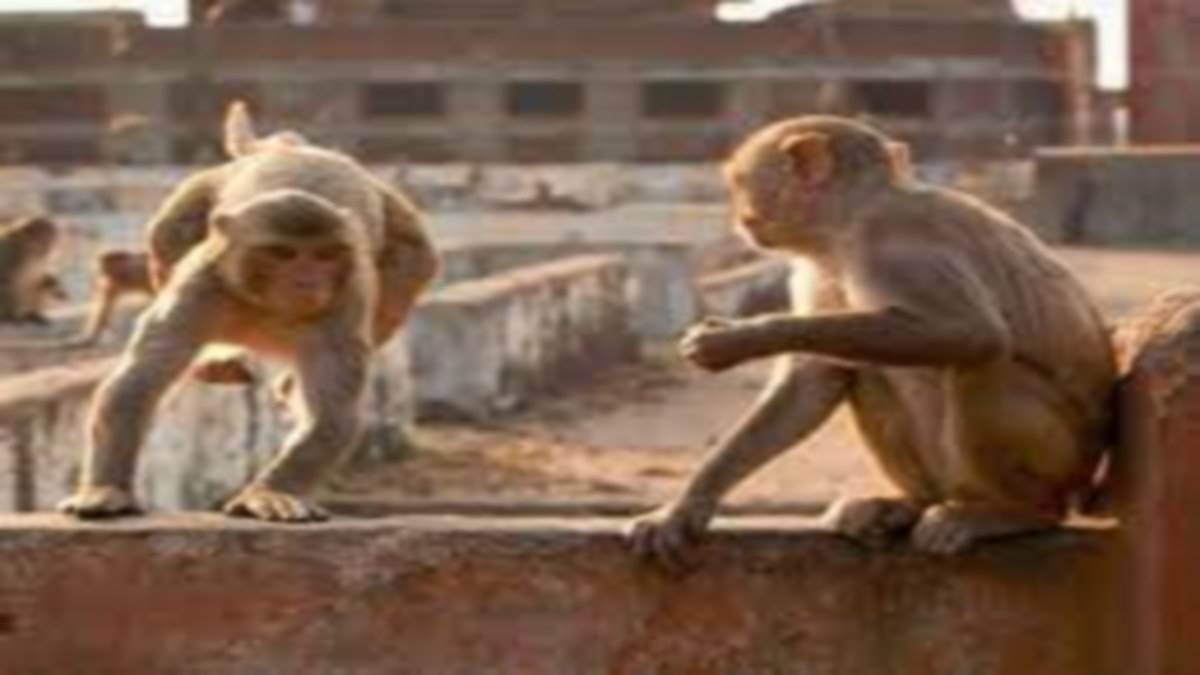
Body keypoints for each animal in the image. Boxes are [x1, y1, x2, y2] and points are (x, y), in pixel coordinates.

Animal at [58, 101, 439, 523]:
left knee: (411, 265)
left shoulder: (345, 300)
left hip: (394, 225)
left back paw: (286, 385)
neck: (267, 304)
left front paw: (271, 493)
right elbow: (139, 381)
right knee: (171, 231)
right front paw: (106, 489)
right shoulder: (199, 288)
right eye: (283, 253)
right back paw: (218, 363)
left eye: (325, 255)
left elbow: (332, 413)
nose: (306, 281)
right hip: (197, 197)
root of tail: (288, 147)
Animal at [626, 116, 1116, 566]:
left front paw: (743, 337)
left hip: (1061, 460)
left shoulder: (891, 245)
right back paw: (910, 503)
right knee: (870, 370)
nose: (739, 216)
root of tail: (1085, 477)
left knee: (983, 367)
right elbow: (812, 379)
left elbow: (971, 331)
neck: (845, 224)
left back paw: (1014, 511)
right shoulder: (816, 268)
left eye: (741, 183)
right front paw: (684, 508)